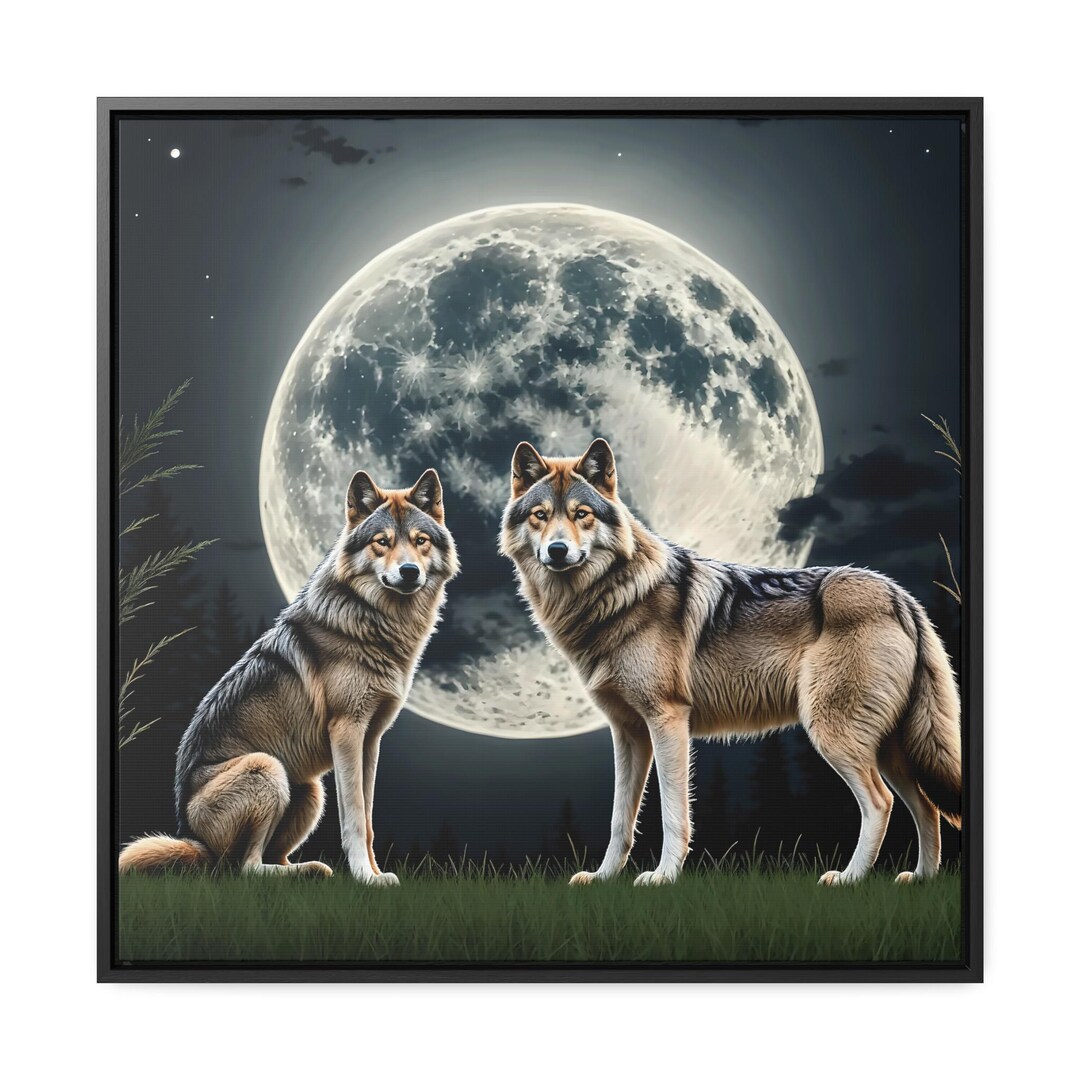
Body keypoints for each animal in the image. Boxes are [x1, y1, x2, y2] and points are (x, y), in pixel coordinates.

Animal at [119, 468, 459, 883]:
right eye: (382, 542)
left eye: (420, 541)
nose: (409, 572)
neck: (376, 622)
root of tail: (193, 839)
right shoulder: (347, 731)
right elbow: (354, 818)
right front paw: (365, 878)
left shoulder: (372, 738)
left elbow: (368, 817)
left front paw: (378, 874)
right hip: (268, 768)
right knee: (245, 868)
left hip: (311, 791)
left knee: (273, 856)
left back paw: (311, 869)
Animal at [500, 438, 961, 887]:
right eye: (541, 516)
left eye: (581, 514)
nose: (558, 550)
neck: (612, 597)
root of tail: (902, 596)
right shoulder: (628, 733)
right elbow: (620, 820)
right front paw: (603, 877)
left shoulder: (668, 721)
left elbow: (673, 813)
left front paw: (663, 877)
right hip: (891, 749)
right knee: (927, 807)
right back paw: (921, 878)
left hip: (835, 735)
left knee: (881, 803)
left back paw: (849, 878)